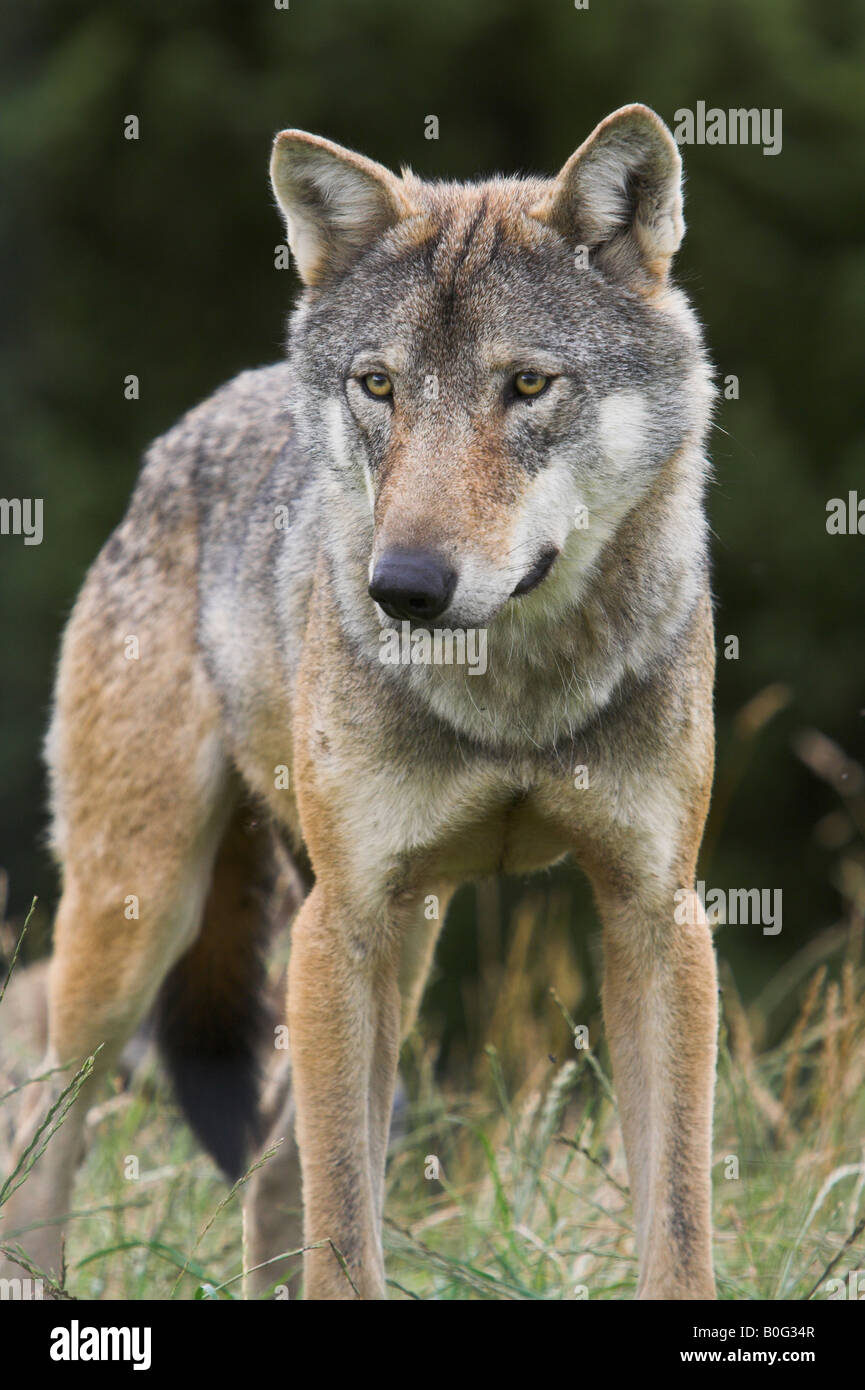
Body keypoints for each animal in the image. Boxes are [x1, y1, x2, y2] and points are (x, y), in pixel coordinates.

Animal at [0, 104, 718, 1300]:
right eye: (379, 386)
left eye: (527, 386)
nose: (403, 586)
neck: (511, 697)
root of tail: (197, 418)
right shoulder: (344, 923)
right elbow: (344, 1227)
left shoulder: (655, 915)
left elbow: (675, 1219)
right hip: (142, 922)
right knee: (44, 1132)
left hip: (396, 942)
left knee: (267, 1169)